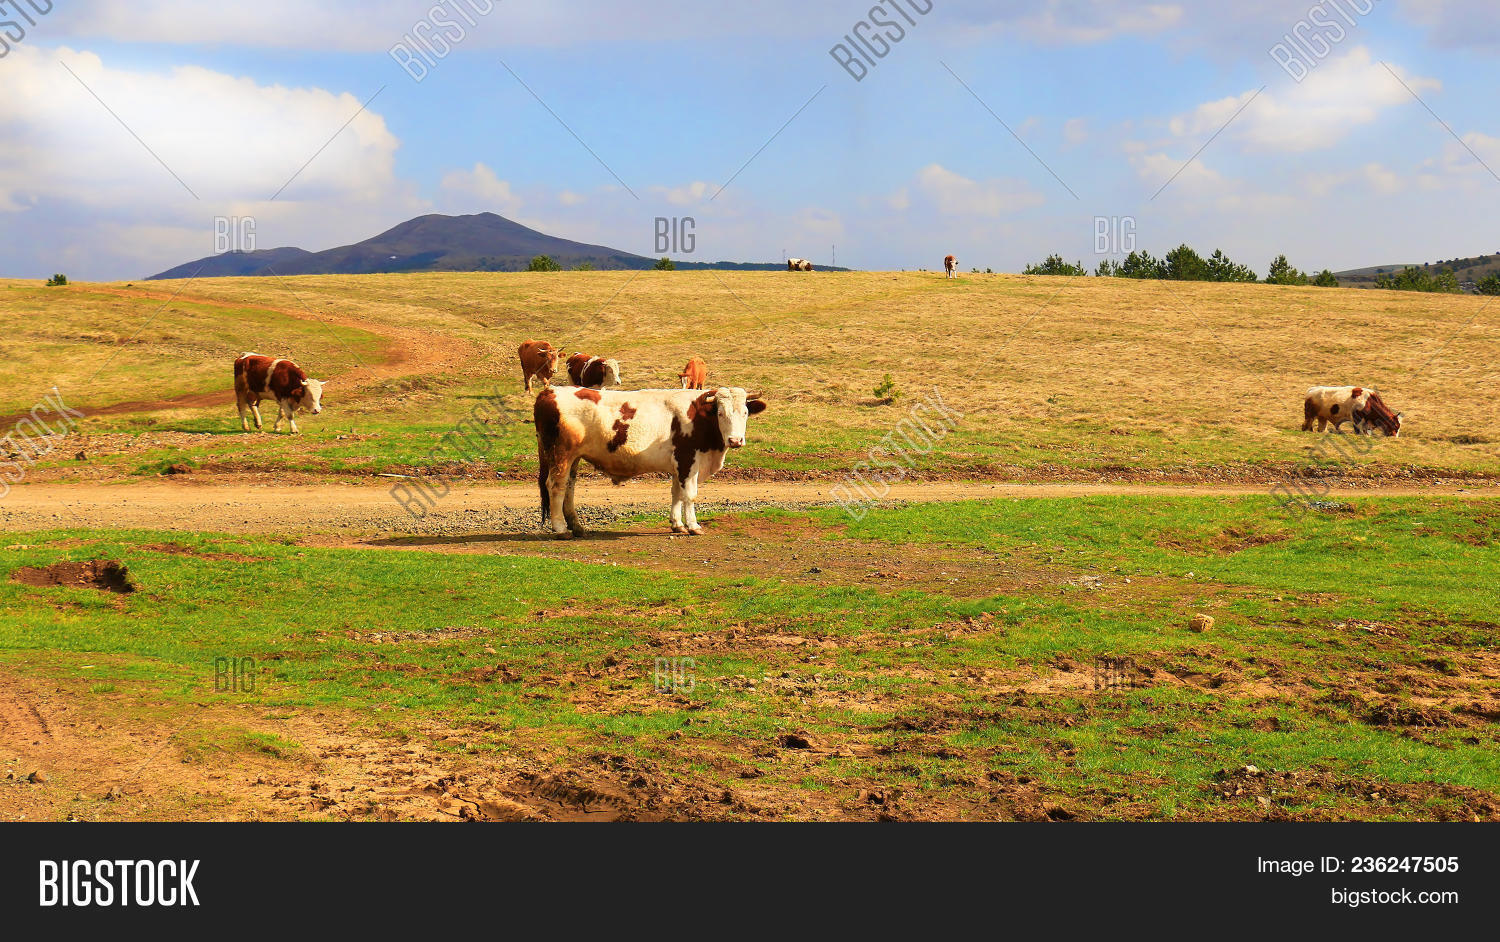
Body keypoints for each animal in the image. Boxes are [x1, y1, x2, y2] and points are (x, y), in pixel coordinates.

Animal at [533, 386, 768, 538]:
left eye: (745, 412)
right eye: (720, 412)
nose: (735, 440)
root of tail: (550, 391)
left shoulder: (678, 466)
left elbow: (676, 494)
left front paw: (677, 524)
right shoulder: (688, 461)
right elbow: (689, 495)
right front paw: (693, 526)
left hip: (573, 458)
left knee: (569, 487)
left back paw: (576, 526)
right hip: (561, 454)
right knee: (556, 486)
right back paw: (561, 529)